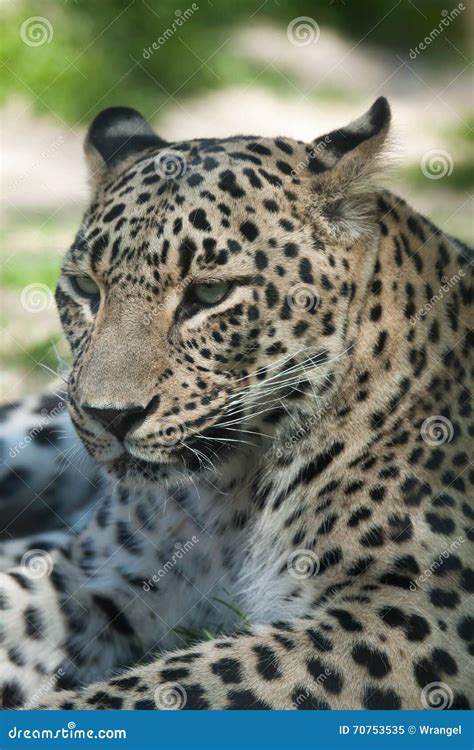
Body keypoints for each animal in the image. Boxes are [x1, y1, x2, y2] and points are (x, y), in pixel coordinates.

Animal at [0, 97, 472, 711]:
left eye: (209, 294)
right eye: (85, 288)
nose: (109, 415)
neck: (230, 498)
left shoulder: (410, 616)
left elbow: (166, 685)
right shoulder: (96, 571)